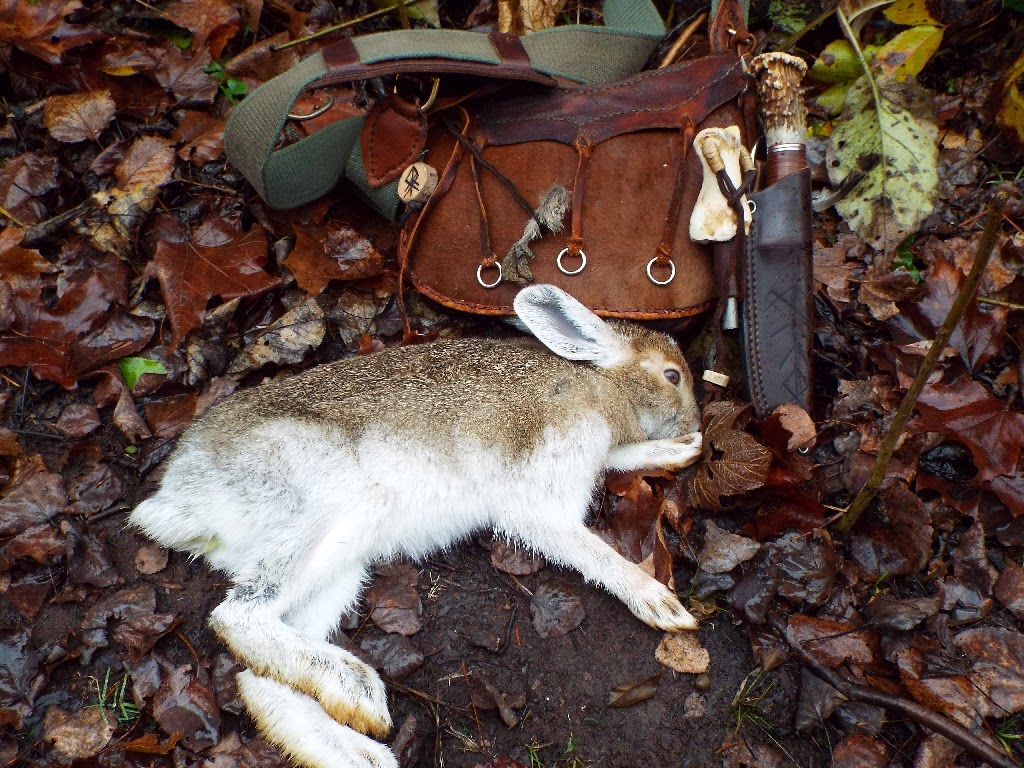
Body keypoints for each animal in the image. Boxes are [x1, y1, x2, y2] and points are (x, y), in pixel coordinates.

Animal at [129, 283, 703, 768]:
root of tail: (179, 500)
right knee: (237, 617)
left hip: (342, 560)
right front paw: (662, 605)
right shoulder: (538, 500)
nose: (695, 422)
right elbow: (594, 551)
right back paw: (360, 692)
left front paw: (683, 450)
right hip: (323, 509)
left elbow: (623, 457)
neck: (594, 384)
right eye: (671, 375)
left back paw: (362, 750)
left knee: (259, 679)